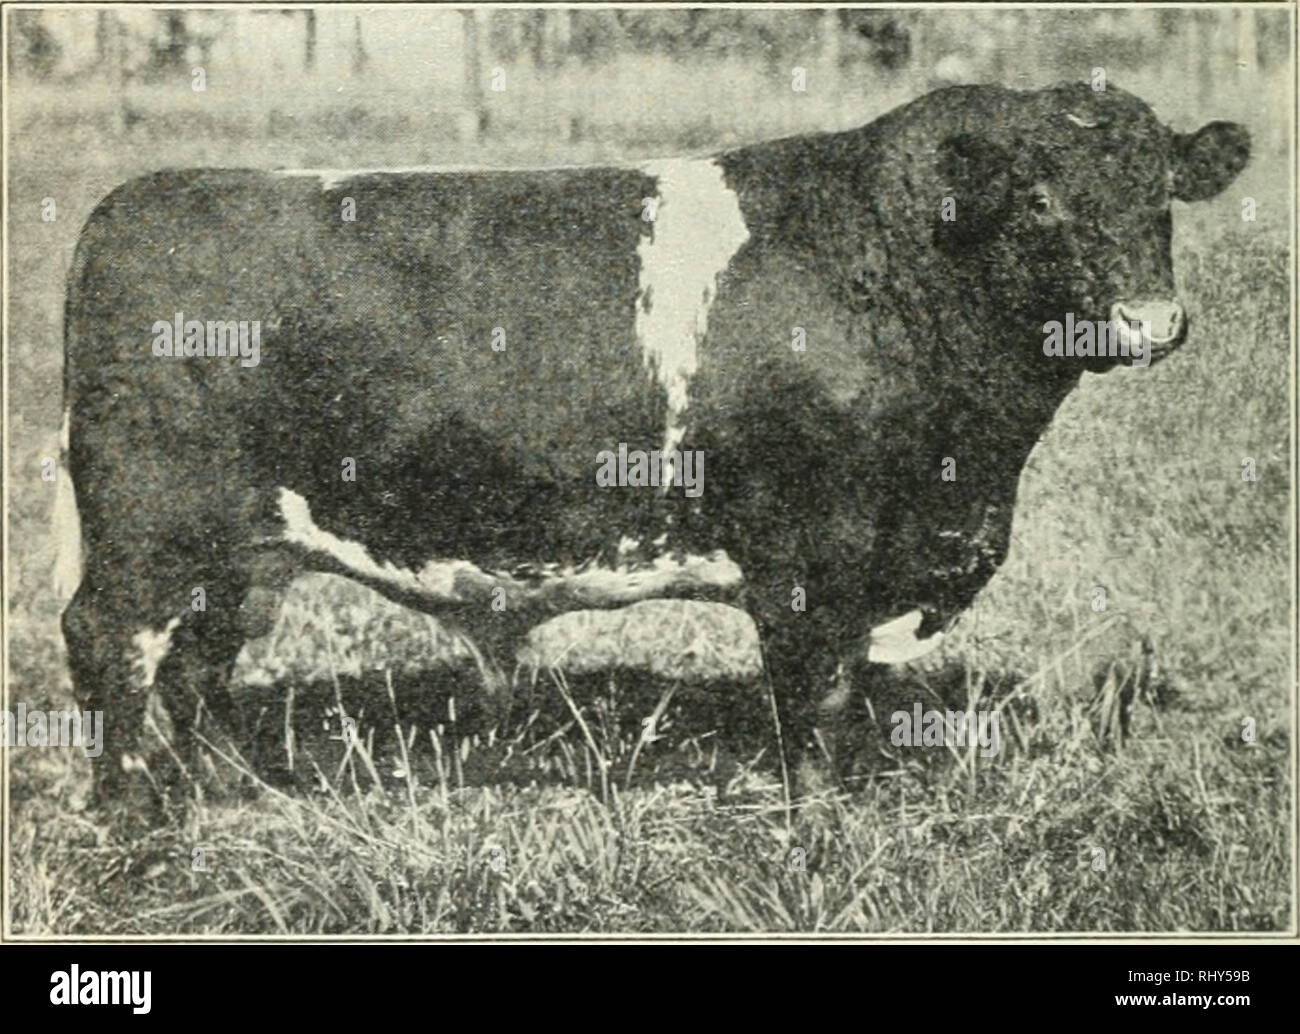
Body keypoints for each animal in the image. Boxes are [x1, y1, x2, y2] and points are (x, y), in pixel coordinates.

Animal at [58, 82, 1249, 823]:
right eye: (1039, 198)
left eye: (1159, 195)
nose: (1152, 319)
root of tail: (131, 201)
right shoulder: (811, 546)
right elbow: (813, 688)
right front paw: (820, 815)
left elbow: (849, 686)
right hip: (147, 524)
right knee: (114, 645)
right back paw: (132, 818)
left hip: (238, 545)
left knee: (202, 662)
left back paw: (236, 797)